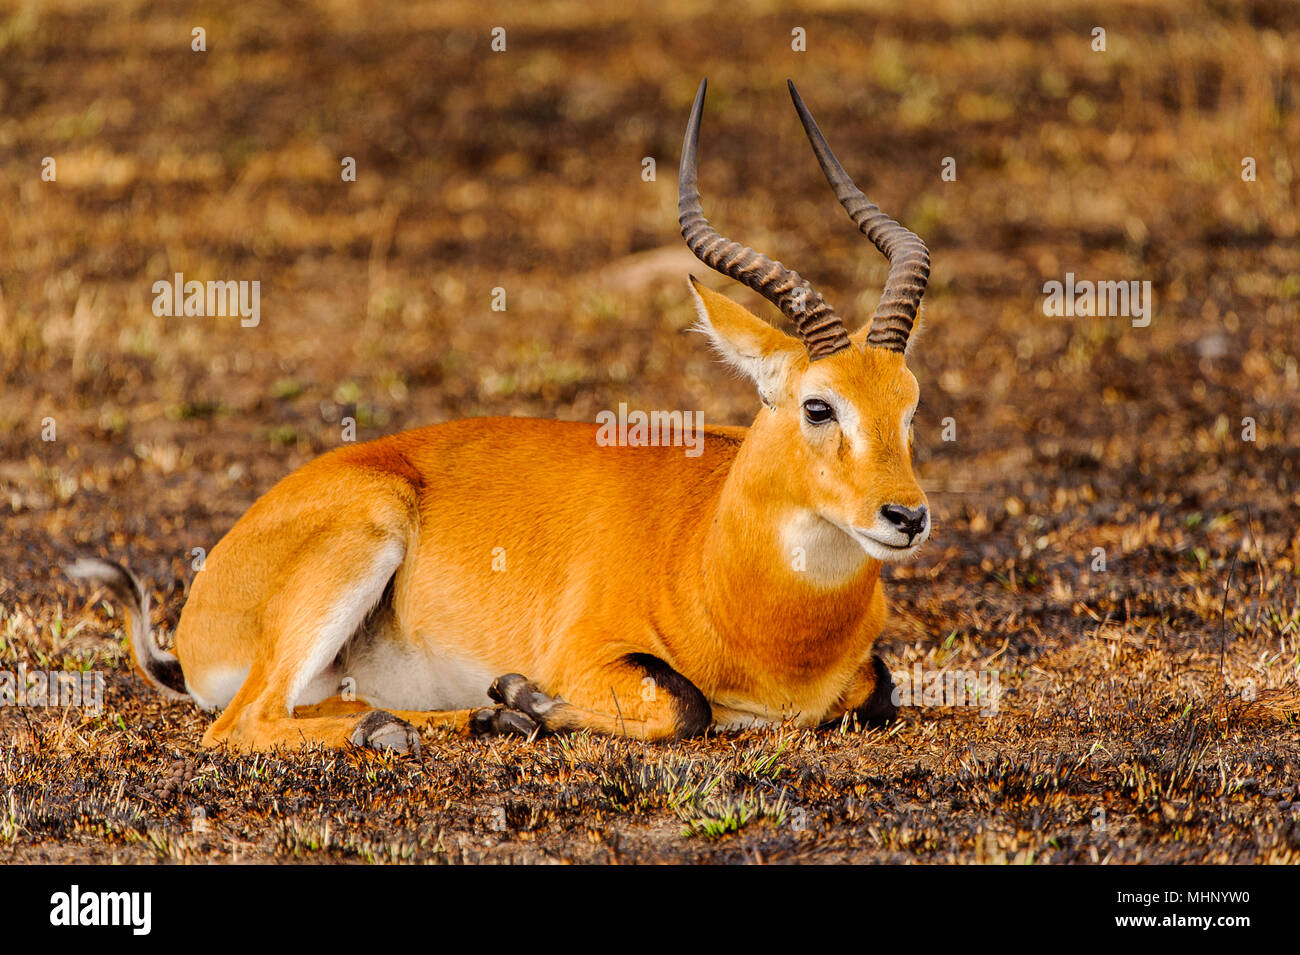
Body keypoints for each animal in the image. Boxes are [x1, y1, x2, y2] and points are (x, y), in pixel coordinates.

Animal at [67, 79, 932, 754]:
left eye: (910, 404)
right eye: (819, 405)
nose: (908, 516)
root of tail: (193, 622)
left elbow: (881, 692)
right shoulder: (592, 656)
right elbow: (685, 706)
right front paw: (522, 698)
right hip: (362, 536)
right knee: (241, 721)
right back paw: (432, 722)